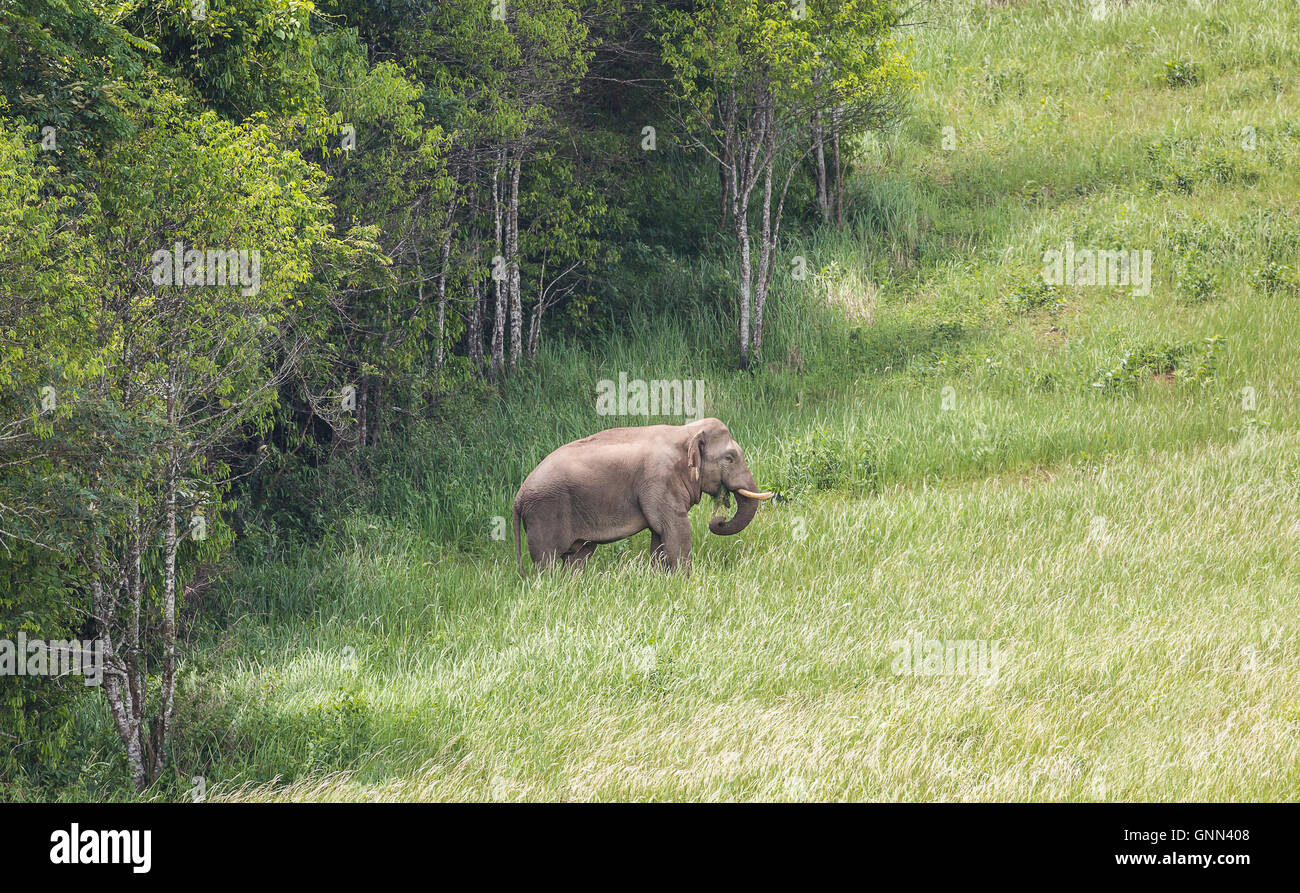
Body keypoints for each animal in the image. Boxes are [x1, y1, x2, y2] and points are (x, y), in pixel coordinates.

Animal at [513, 417, 772, 574]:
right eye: (729, 458)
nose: (718, 520)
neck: (686, 431)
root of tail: (518, 498)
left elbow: (659, 534)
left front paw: (660, 577)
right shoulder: (659, 481)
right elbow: (676, 528)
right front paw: (685, 581)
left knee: (578, 555)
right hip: (544, 514)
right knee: (547, 561)